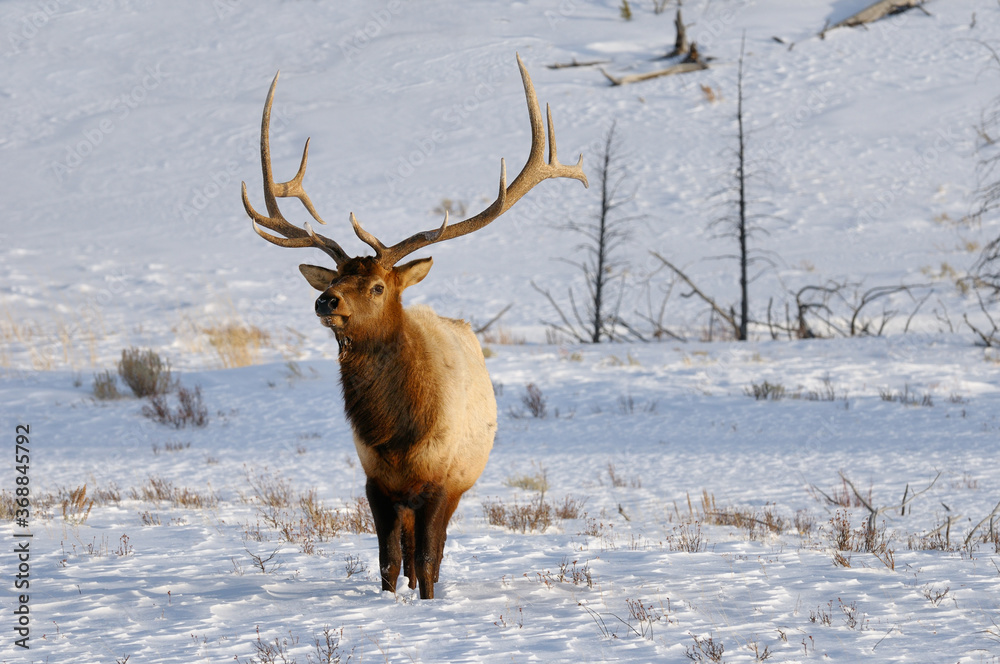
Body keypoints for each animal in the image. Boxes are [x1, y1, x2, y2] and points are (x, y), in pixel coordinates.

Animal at [241, 55, 588, 599]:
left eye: (378, 287)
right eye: (335, 277)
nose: (324, 300)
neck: (397, 434)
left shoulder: (442, 482)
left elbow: (427, 560)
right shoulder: (376, 481)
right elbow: (387, 563)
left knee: (434, 554)